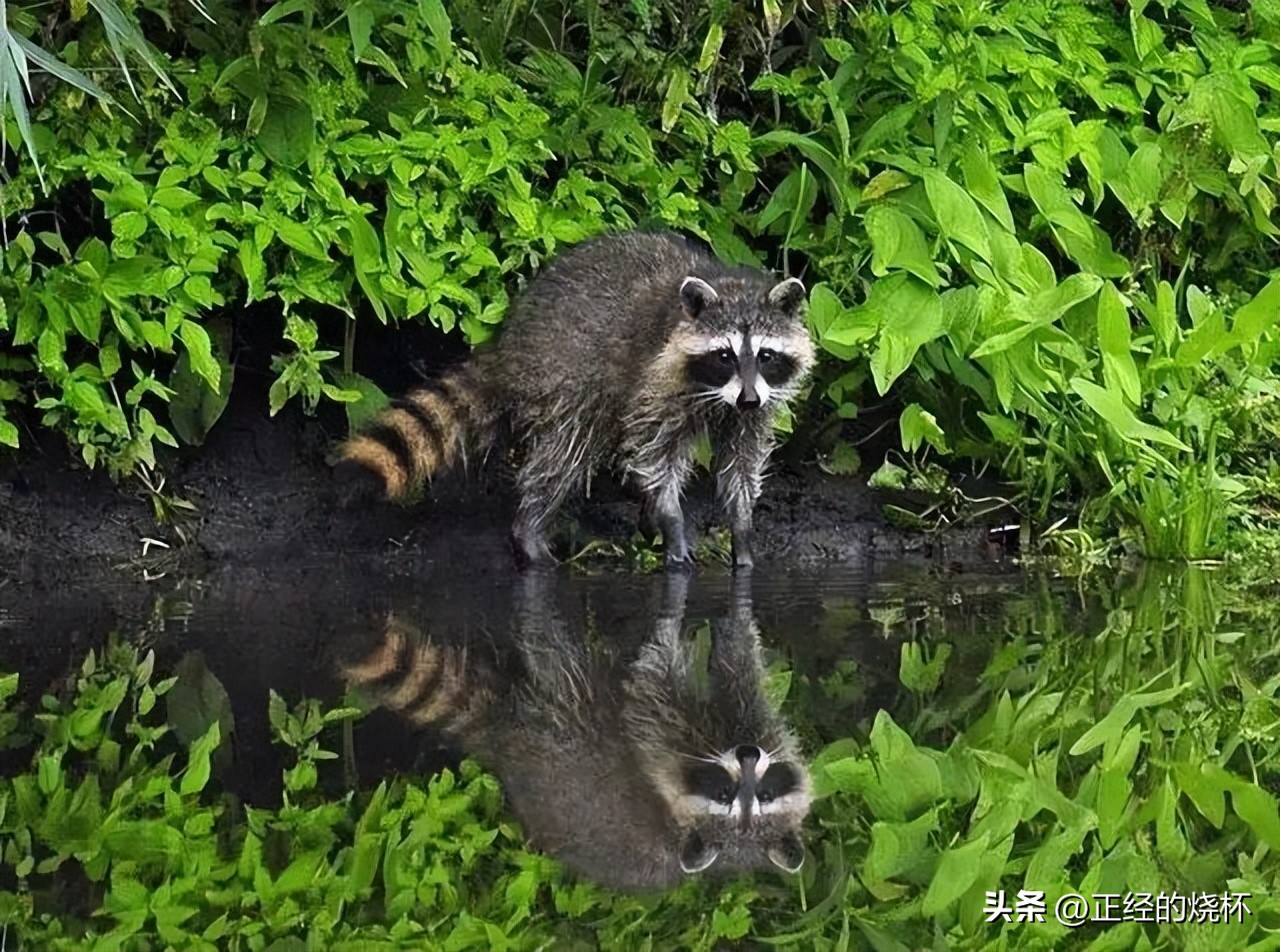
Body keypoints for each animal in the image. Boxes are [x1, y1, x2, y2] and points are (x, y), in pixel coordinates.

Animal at [338, 231, 815, 569]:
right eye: (724, 354)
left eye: (766, 355)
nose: (748, 399)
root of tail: (510, 343)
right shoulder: (658, 382)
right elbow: (654, 452)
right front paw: (672, 519)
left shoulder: (758, 403)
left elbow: (742, 462)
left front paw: (742, 526)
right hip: (564, 374)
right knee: (565, 454)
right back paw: (531, 531)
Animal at [339, 571, 811, 891]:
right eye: (727, 794)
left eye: (762, 795)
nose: (748, 756)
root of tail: (506, 741)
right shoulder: (713, 734)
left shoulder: (674, 733)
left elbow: (694, 673)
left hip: (565, 716)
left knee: (551, 650)